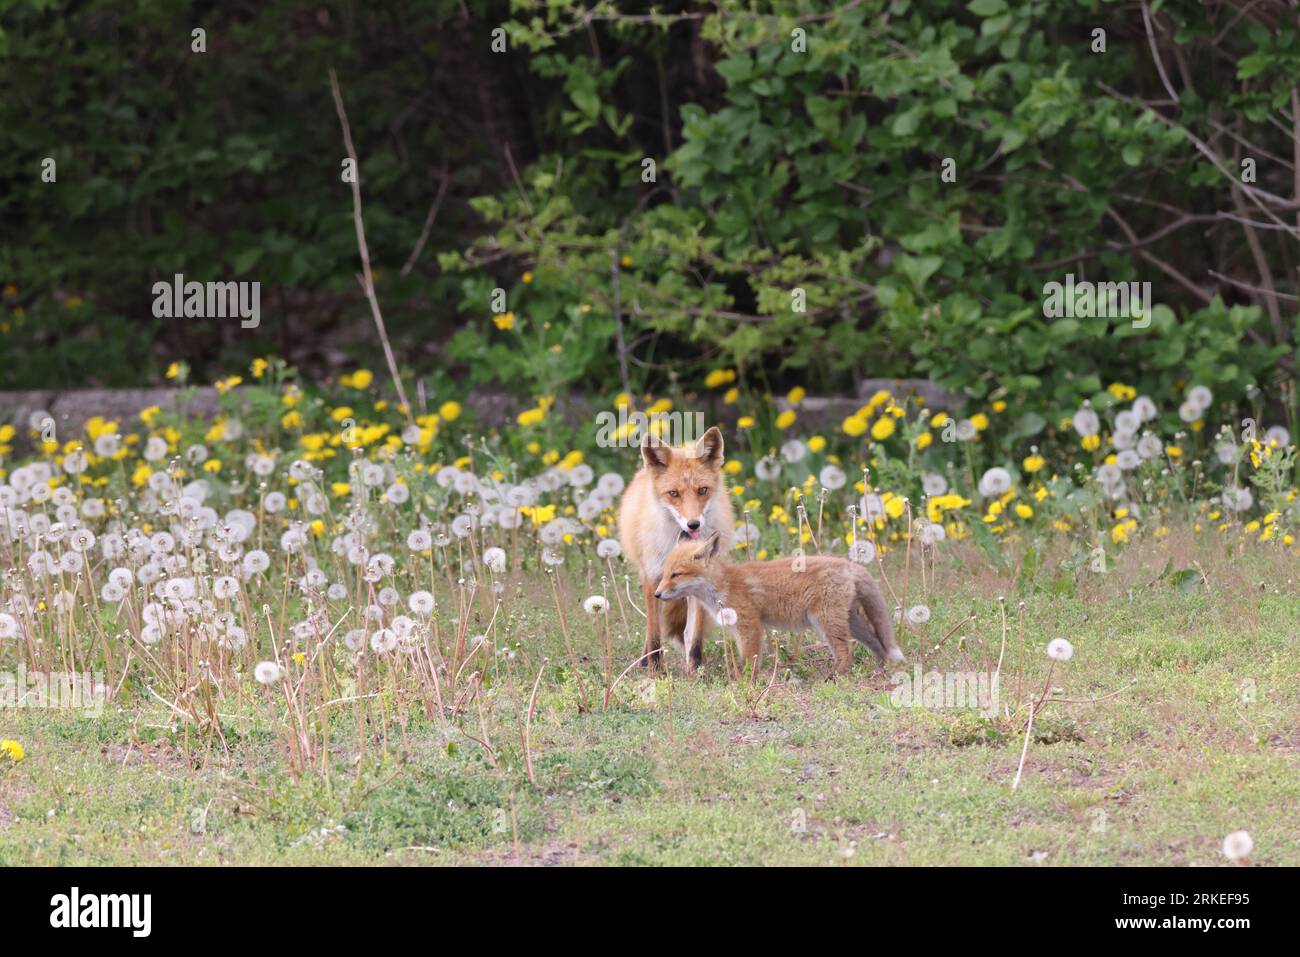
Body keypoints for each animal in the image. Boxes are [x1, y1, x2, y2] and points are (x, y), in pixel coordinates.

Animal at [617, 426, 734, 673]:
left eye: (702, 490)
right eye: (673, 493)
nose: (693, 524)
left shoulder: (699, 578)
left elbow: (694, 634)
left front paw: (695, 669)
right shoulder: (653, 577)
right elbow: (654, 633)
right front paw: (655, 669)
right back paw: (645, 661)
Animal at [653, 531, 905, 676]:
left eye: (676, 574)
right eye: (665, 574)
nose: (657, 594)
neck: (724, 585)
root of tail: (850, 565)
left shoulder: (749, 624)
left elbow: (750, 658)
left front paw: (746, 680)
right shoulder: (738, 627)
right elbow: (745, 657)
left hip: (826, 622)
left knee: (846, 649)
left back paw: (837, 675)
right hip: (850, 621)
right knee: (876, 642)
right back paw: (880, 670)